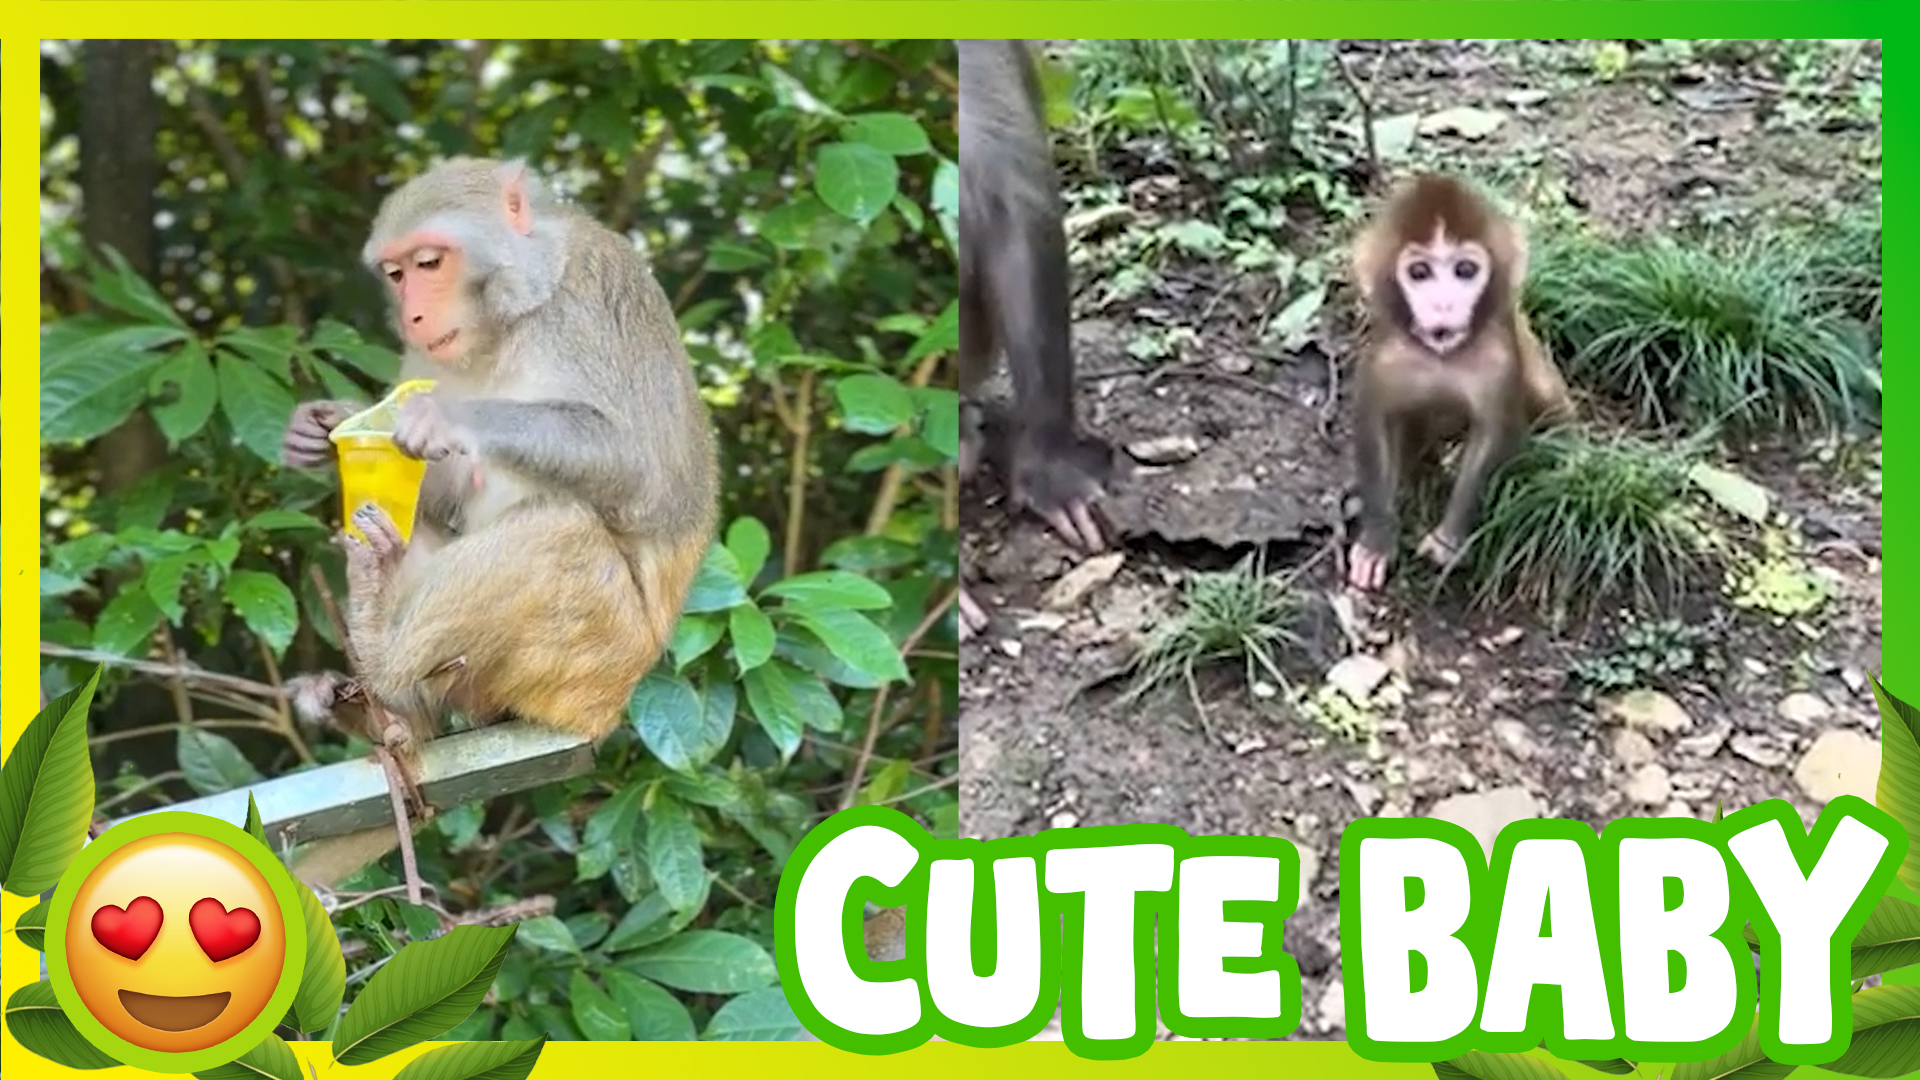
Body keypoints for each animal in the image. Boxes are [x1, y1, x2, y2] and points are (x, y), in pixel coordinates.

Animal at [283, 157, 719, 772]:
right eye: (395, 274)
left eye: (429, 262)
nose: (412, 316)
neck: (514, 317)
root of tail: (608, 712)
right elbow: (434, 487)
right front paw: (321, 430)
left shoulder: (590, 301)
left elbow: (647, 475)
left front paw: (447, 415)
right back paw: (393, 711)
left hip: (593, 659)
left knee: (556, 529)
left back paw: (380, 652)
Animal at [1345, 173, 1572, 592]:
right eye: (1419, 273)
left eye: (1465, 270)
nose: (1444, 305)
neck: (1443, 355)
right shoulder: (1386, 357)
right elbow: (1377, 422)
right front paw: (1376, 540)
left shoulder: (1498, 360)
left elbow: (1493, 433)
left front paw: (1449, 541)